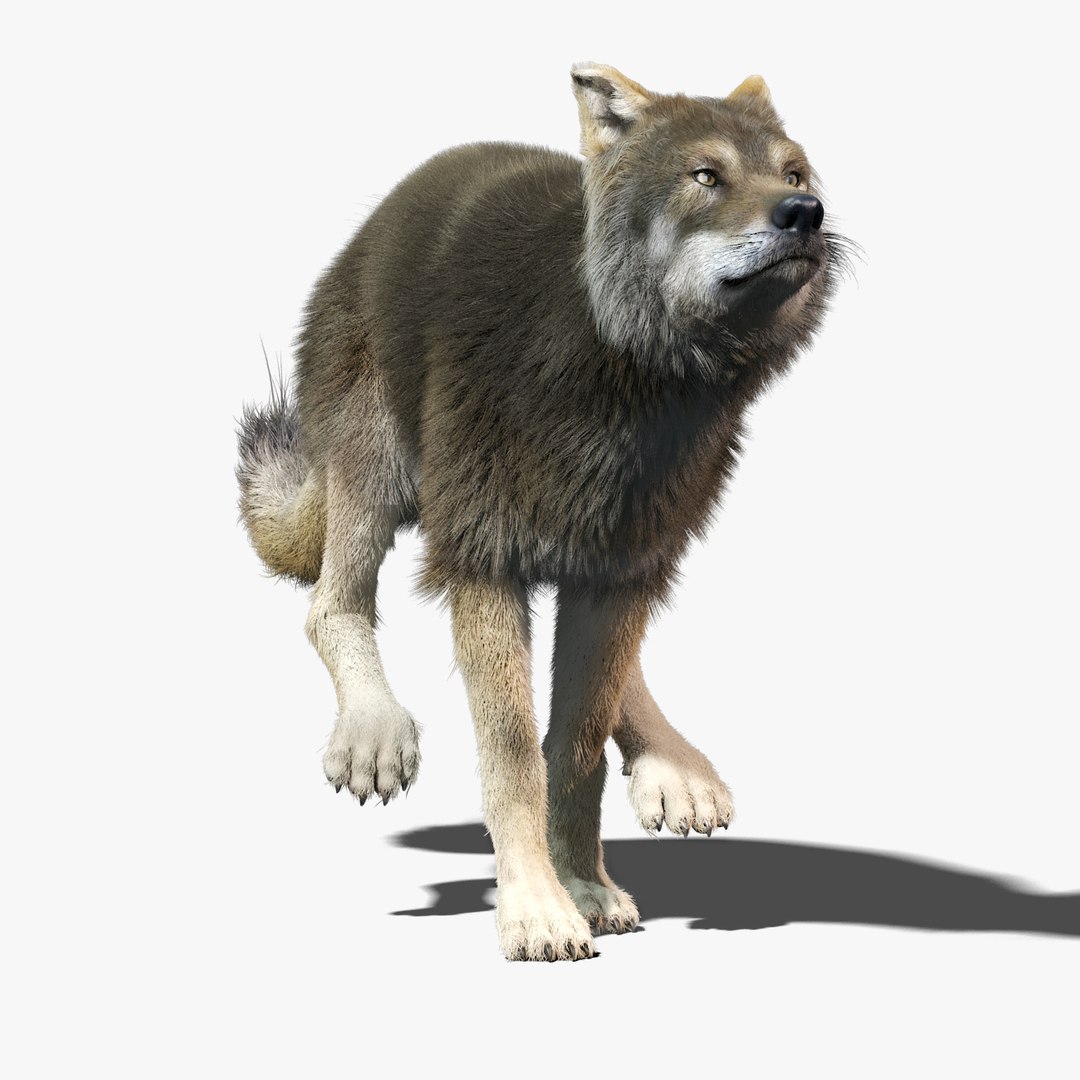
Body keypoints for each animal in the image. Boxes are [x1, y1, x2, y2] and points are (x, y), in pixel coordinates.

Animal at [237, 62, 851, 961]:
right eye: (706, 176)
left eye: (795, 173)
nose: (804, 214)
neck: (621, 374)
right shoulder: (485, 558)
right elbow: (513, 757)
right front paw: (536, 906)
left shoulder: (619, 569)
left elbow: (577, 749)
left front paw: (584, 886)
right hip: (373, 466)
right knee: (330, 605)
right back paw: (373, 735)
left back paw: (677, 771)